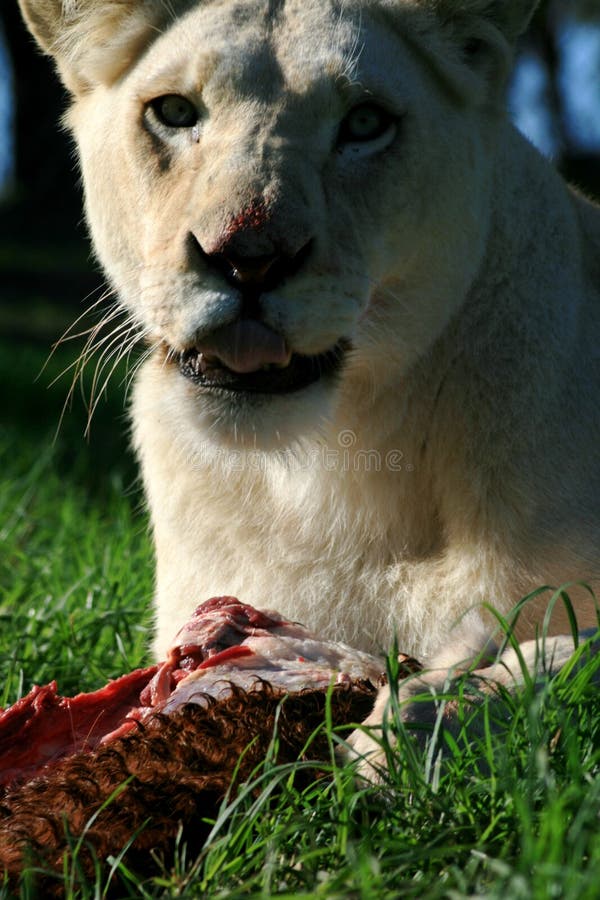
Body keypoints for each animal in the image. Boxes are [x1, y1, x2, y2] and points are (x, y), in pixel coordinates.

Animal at [18, 0, 600, 760]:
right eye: (174, 111)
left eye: (365, 122)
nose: (249, 257)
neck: (330, 468)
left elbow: (551, 654)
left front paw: (400, 736)